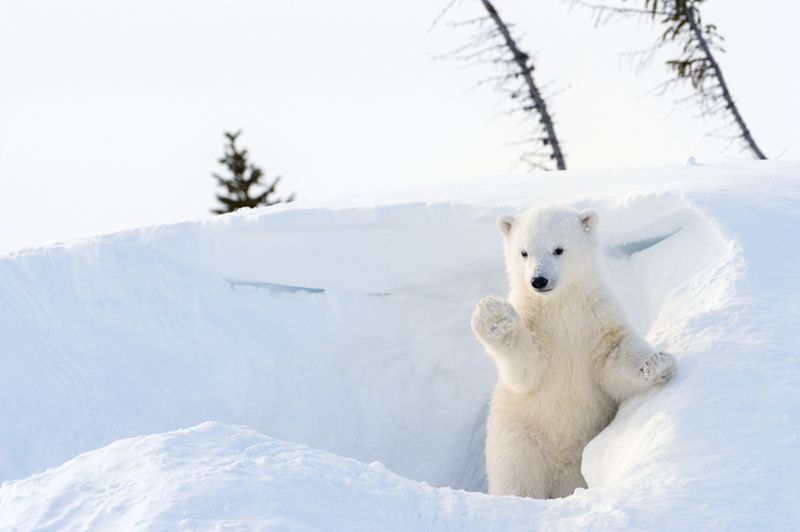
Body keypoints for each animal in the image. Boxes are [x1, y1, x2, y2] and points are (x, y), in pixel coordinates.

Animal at [471, 205, 676, 499]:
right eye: (524, 252)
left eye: (558, 249)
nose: (538, 280)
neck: (560, 305)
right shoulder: (536, 326)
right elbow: (527, 370)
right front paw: (493, 316)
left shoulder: (596, 317)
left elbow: (614, 355)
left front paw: (657, 363)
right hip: (518, 439)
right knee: (517, 477)